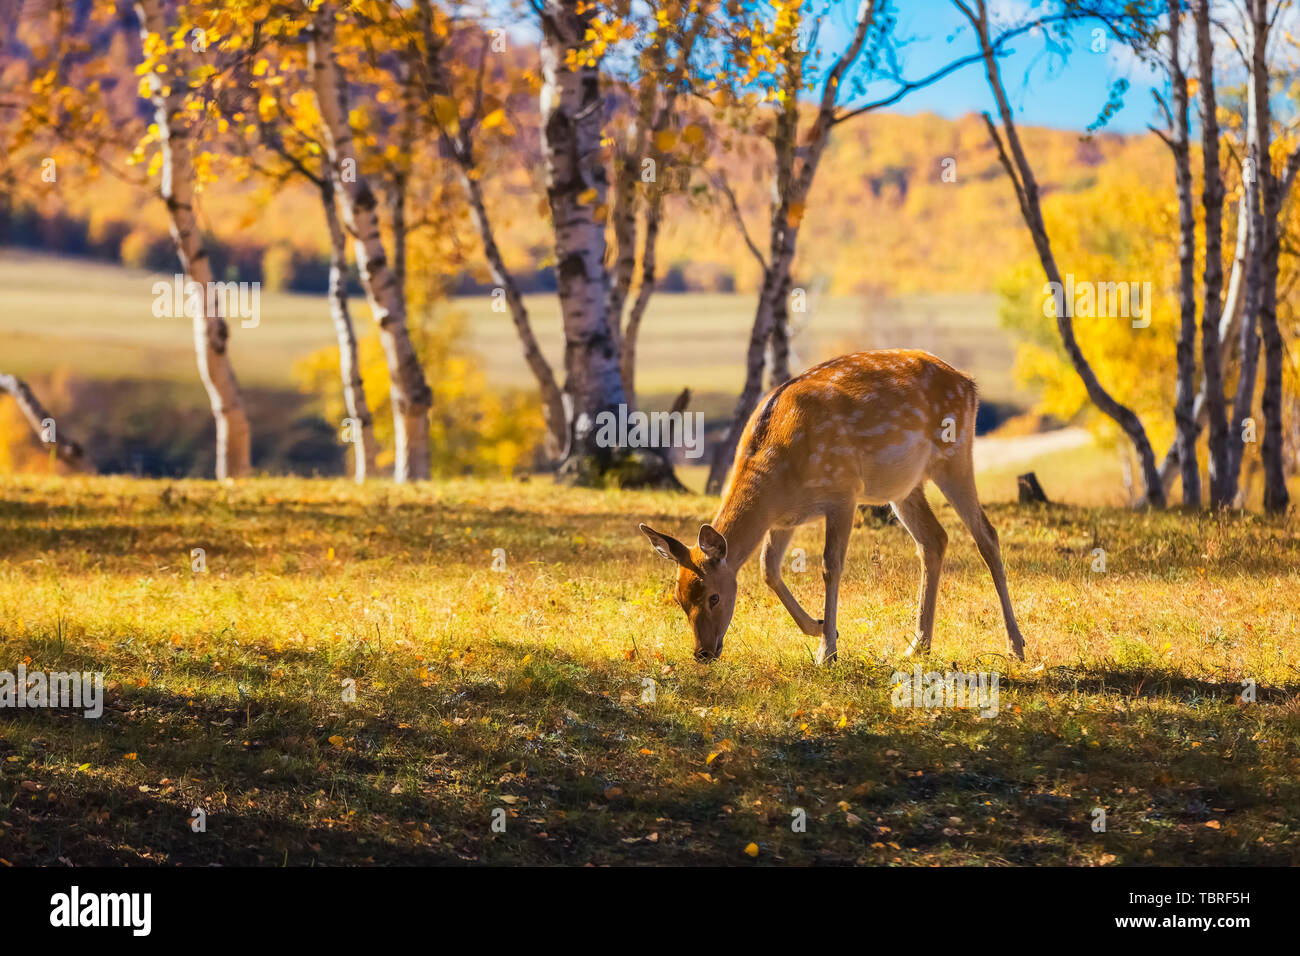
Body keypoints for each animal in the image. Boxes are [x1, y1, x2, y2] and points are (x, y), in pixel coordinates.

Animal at [639, 349, 1025, 665]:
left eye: (715, 598)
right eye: (679, 598)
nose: (702, 653)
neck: (780, 474)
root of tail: (969, 384)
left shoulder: (844, 492)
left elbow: (830, 566)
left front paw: (827, 651)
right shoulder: (783, 519)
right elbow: (768, 570)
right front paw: (821, 627)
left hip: (954, 456)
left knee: (986, 535)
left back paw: (1015, 646)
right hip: (903, 486)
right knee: (934, 539)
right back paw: (918, 646)